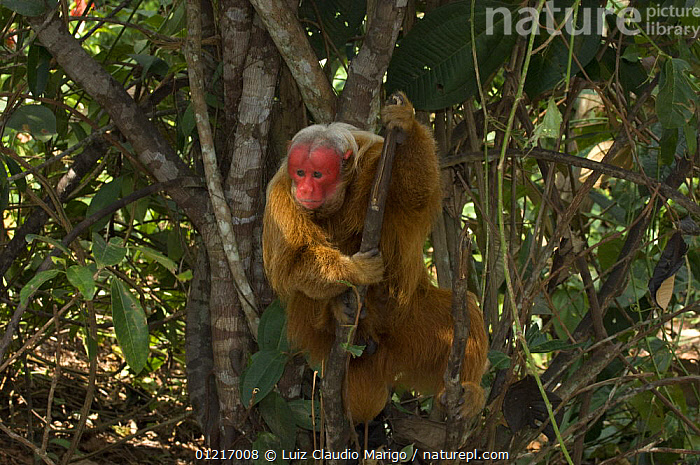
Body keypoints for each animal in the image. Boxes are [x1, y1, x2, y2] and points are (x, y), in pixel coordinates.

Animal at [262, 93, 488, 424]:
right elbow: (293, 262)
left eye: (317, 174)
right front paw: (354, 270)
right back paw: (338, 311)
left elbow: (413, 195)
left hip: (406, 321)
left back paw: (468, 390)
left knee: (463, 311)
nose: (303, 189)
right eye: (299, 173)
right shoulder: (280, 195)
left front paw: (406, 125)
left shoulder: (375, 155)